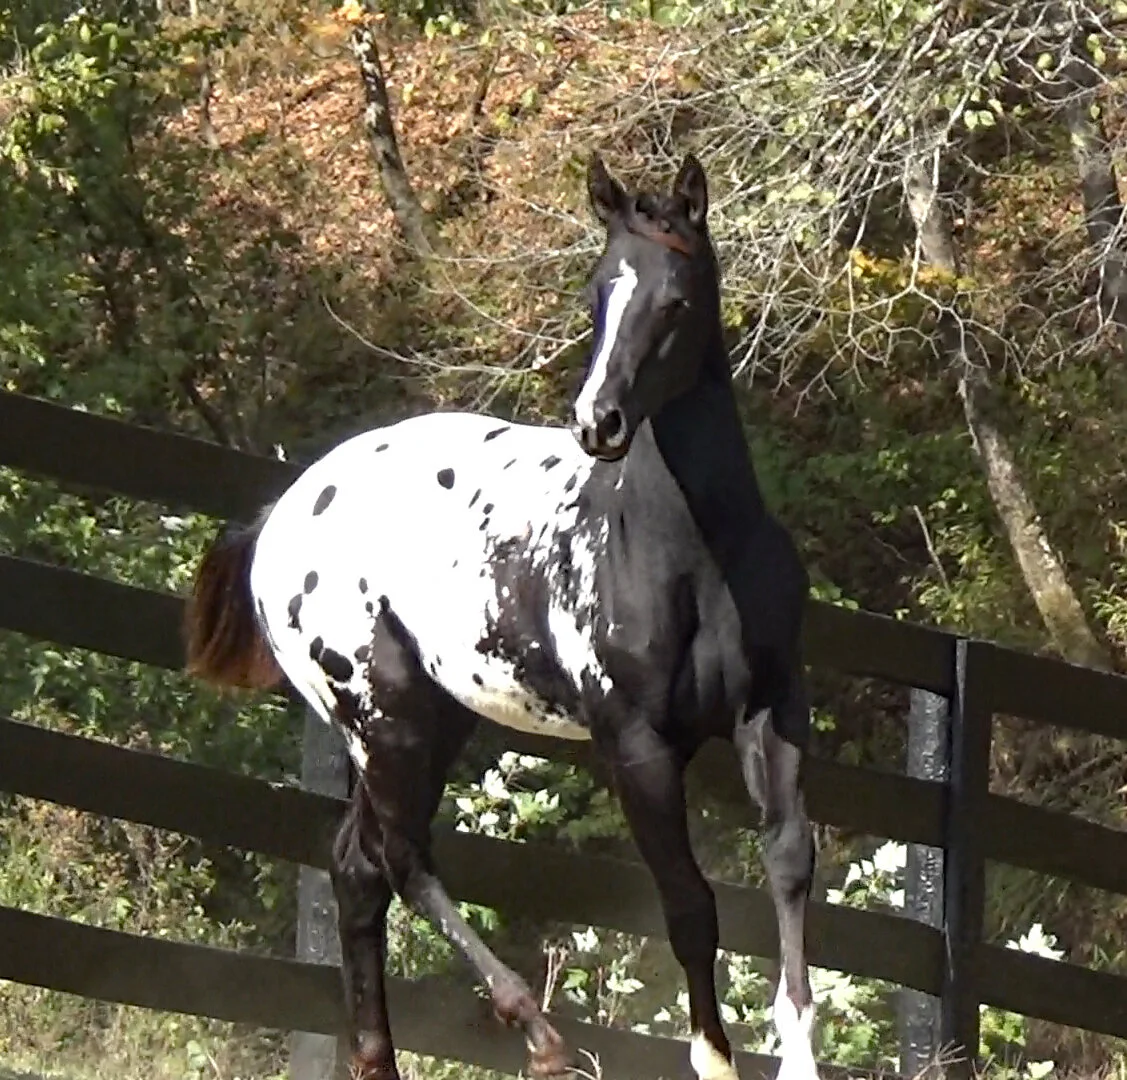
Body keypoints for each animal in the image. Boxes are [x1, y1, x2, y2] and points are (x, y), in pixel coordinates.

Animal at [183, 152, 819, 1080]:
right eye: (597, 292)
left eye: (675, 298)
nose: (598, 421)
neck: (695, 549)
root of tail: (280, 519)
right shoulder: (637, 746)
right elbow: (687, 905)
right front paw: (711, 1058)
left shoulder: (770, 714)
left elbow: (789, 863)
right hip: (382, 719)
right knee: (400, 860)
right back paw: (538, 1033)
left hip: (430, 722)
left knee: (355, 869)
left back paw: (382, 1059)